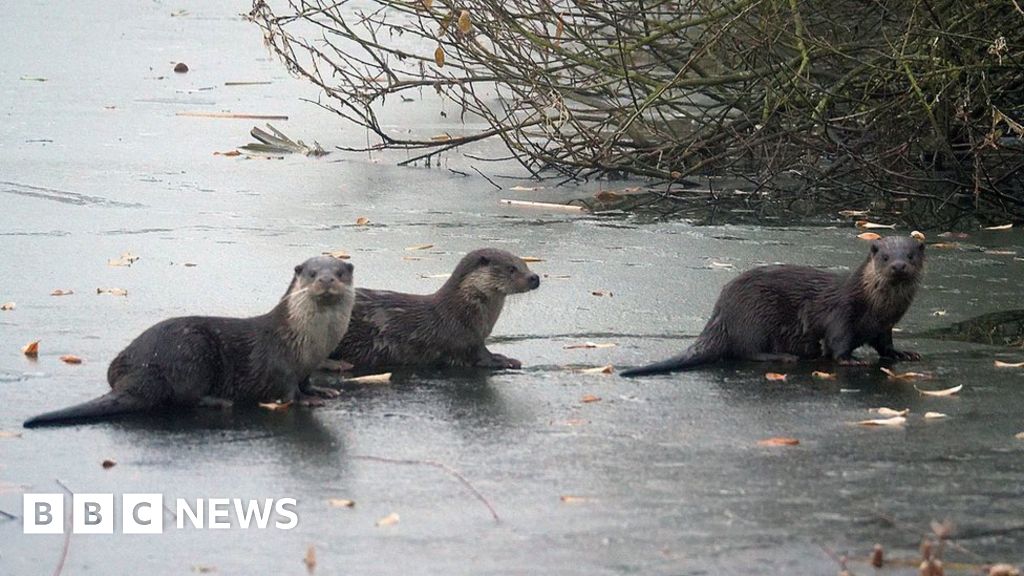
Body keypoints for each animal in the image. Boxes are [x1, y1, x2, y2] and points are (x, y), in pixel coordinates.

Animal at [24, 256, 355, 427]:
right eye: (312, 272)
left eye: (340, 272)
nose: (326, 280)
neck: (309, 342)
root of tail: (140, 371)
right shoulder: (280, 362)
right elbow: (287, 390)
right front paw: (306, 400)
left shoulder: (307, 367)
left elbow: (307, 381)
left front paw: (322, 391)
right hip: (190, 354)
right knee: (185, 395)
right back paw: (219, 400)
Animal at [329, 248, 539, 370]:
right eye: (511, 268)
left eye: (525, 264)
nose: (534, 277)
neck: (460, 313)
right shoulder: (463, 339)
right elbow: (477, 356)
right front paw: (503, 360)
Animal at [621, 236, 925, 377]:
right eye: (885, 257)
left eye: (910, 255)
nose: (899, 265)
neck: (876, 307)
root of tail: (720, 313)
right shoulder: (842, 312)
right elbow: (838, 339)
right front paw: (849, 359)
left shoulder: (884, 326)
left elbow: (886, 345)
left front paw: (904, 353)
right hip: (755, 315)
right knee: (744, 350)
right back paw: (783, 357)